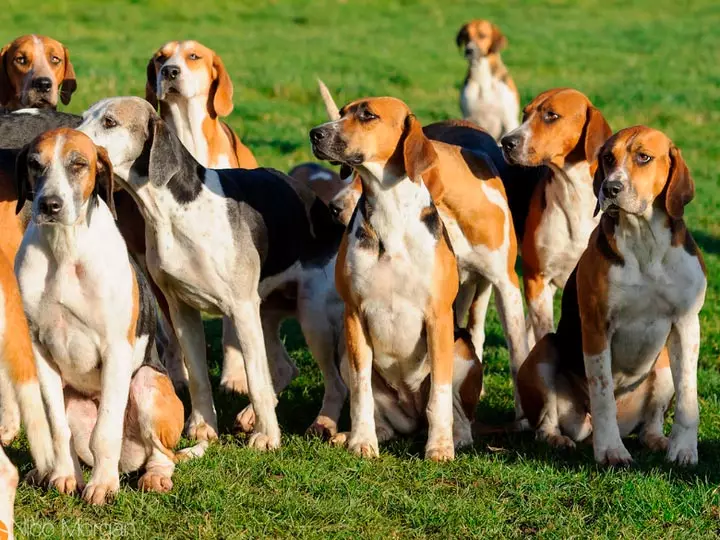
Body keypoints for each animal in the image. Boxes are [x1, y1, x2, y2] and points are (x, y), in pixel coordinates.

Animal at [14, 129, 200, 504]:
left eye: (78, 164)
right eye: (35, 164)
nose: (49, 205)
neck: (65, 249)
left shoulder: (115, 349)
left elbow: (106, 431)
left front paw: (102, 484)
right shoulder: (39, 350)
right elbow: (57, 429)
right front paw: (64, 477)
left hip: (147, 382)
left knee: (162, 455)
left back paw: (154, 476)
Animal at [500, 89, 612, 348]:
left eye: (551, 115)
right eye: (525, 114)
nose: (507, 142)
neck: (573, 195)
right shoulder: (536, 279)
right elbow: (544, 331)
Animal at [516, 125, 708, 464]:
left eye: (644, 157)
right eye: (607, 158)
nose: (611, 188)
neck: (643, 241)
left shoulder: (686, 324)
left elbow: (688, 395)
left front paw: (684, 449)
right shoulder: (596, 326)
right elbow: (602, 392)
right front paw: (610, 451)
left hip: (662, 364)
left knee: (650, 423)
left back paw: (657, 440)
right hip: (545, 350)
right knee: (547, 420)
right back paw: (556, 437)